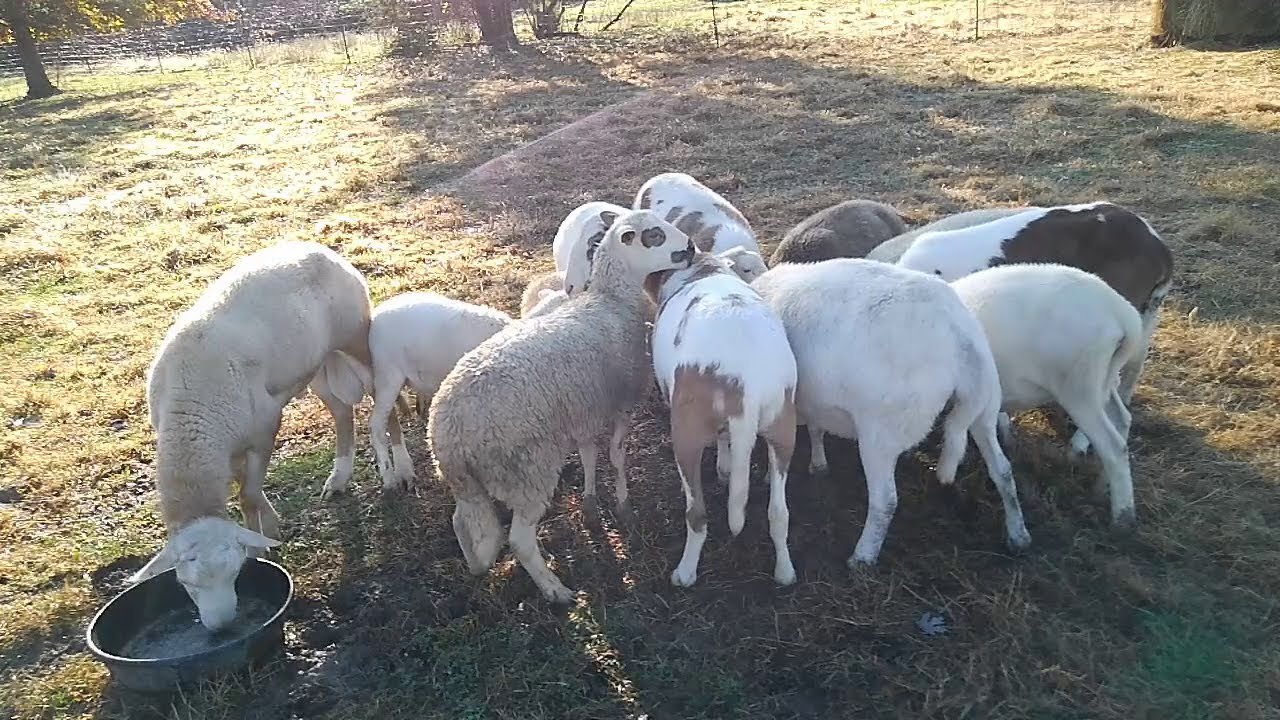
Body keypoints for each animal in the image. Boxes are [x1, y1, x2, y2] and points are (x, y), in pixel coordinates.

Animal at [131, 241, 372, 630]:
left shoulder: (265, 425)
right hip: (314, 363)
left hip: (354, 334)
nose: (221, 627)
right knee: (340, 411)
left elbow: (247, 494)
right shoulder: (229, 443)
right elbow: (247, 485)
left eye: (235, 572)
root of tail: (315, 247)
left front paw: (260, 542)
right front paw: (269, 527)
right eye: (185, 584)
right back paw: (339, 476)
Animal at [428, 209, 698, 603]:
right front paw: (623, 505)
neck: (613, 301)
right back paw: (555, 590)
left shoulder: (584, 411)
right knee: (520, 541)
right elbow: (616, 455)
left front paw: (590, 506)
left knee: (462, 522)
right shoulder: (622, 403)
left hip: (471, 486)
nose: (691, 247)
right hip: (527, 469)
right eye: (655, 235)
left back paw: (479, 567)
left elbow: (588, 455)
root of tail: (447, 435)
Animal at [648, 251, 798, 587]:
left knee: (697, 515)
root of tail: (745, 382)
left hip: (686, 433)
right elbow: (724, 439)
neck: (706, 267)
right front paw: (726, 468)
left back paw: (685, 573)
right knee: (779, 513)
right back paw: (785, 572)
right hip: (783, 427)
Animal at [752, 259, 1032, 566]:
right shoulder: (814, 401)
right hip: (985, 406)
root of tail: (961, 337)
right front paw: (818, 463)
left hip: (881, 431)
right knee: (1003, 470)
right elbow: (816, 429)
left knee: (885, 500)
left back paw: (863, 556)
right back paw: (1018, 535)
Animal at [950, 263, 1143, 529]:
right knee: (1122, 420)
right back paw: (1101, 488)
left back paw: (1122, 518)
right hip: (1104, 379)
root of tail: (1123, 313)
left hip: (1079, 388)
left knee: (1114, 447)